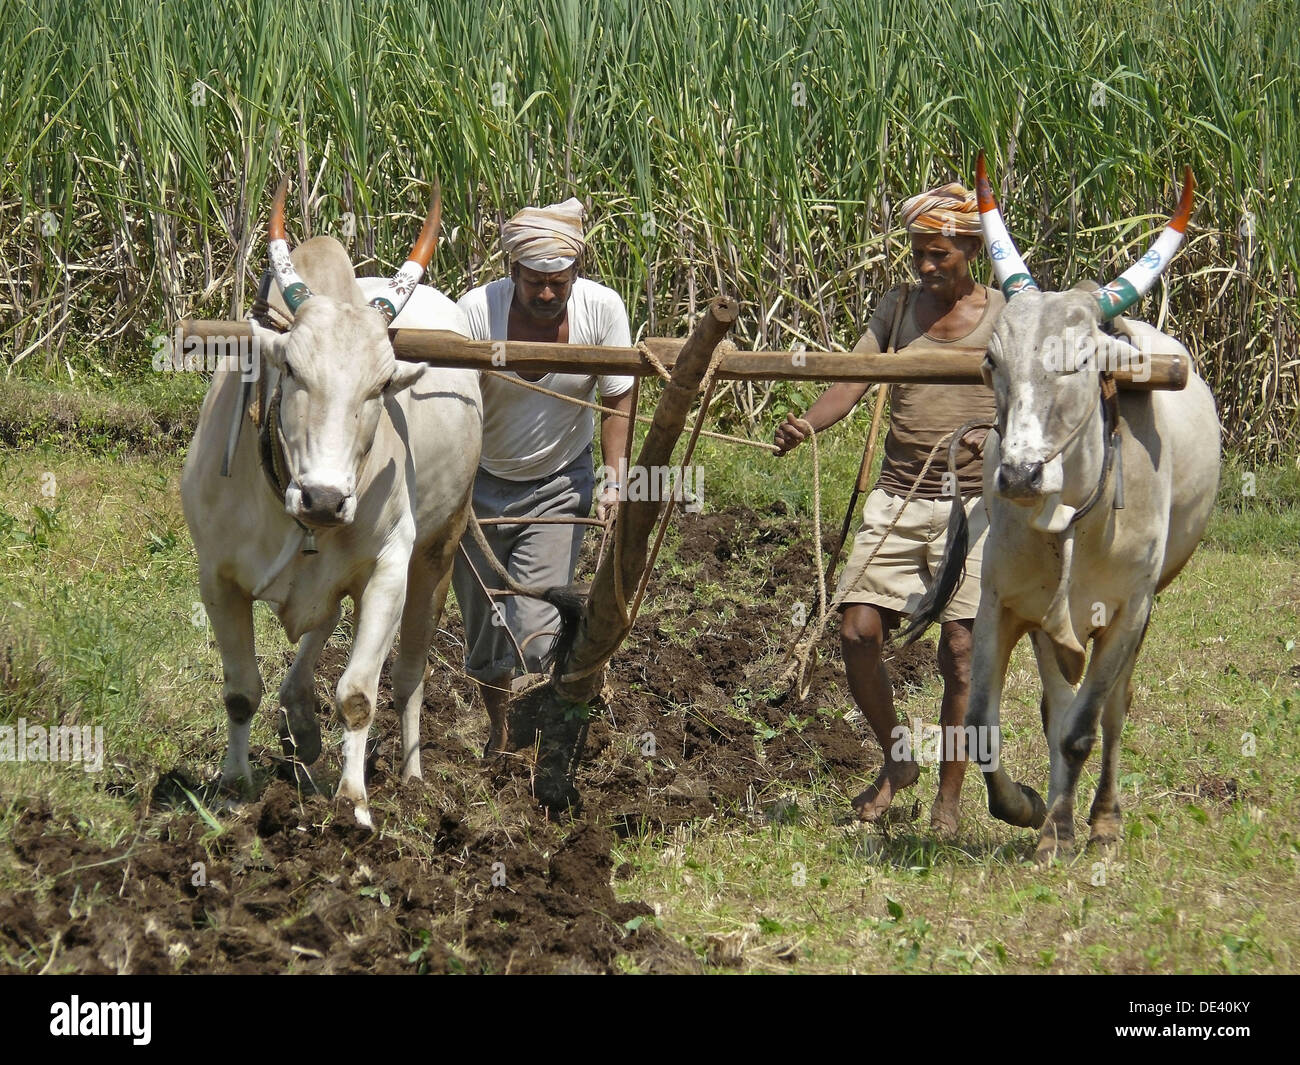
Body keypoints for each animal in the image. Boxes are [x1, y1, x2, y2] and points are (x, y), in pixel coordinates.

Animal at [181, 178, 482, 828]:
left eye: (382, 384)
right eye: (291, 368)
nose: (323, 498)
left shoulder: (390, 567)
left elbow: (359, 695)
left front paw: (354, 804)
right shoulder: (216, 576)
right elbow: (240, 690)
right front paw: (234, 784)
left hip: (440, 548)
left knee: (410, 671)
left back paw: (411, 776)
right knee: (318, 633)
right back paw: (298, 720)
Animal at [902, 156, 1221, 861]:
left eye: (1081, 362)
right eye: (992, 360)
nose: (1019, 472)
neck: (1075, 517)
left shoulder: (1130, 611)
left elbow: (1085, 726)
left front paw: (1060, 830)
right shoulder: (1004, 604)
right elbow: (986, 720)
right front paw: (1029, 810)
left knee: (1112, 711)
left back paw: (1100, 819)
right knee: (1058, 708)